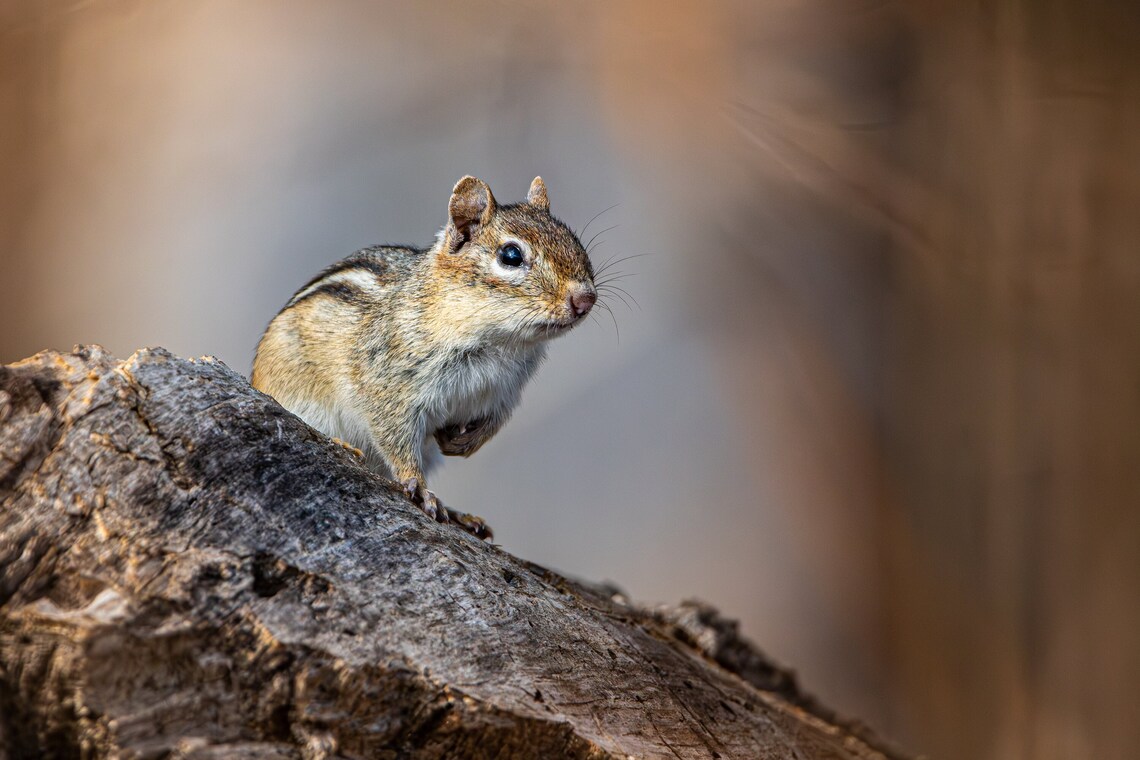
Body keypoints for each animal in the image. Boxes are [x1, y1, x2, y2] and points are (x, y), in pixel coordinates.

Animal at [252, 176, 596, 540]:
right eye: (511, 255)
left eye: (572, 238)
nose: (585, 299)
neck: (500, 342)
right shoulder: (388, 386)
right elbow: (397, 441)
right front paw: (419, 487)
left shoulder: (504, 394)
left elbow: (493, 425)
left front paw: (462, 444)